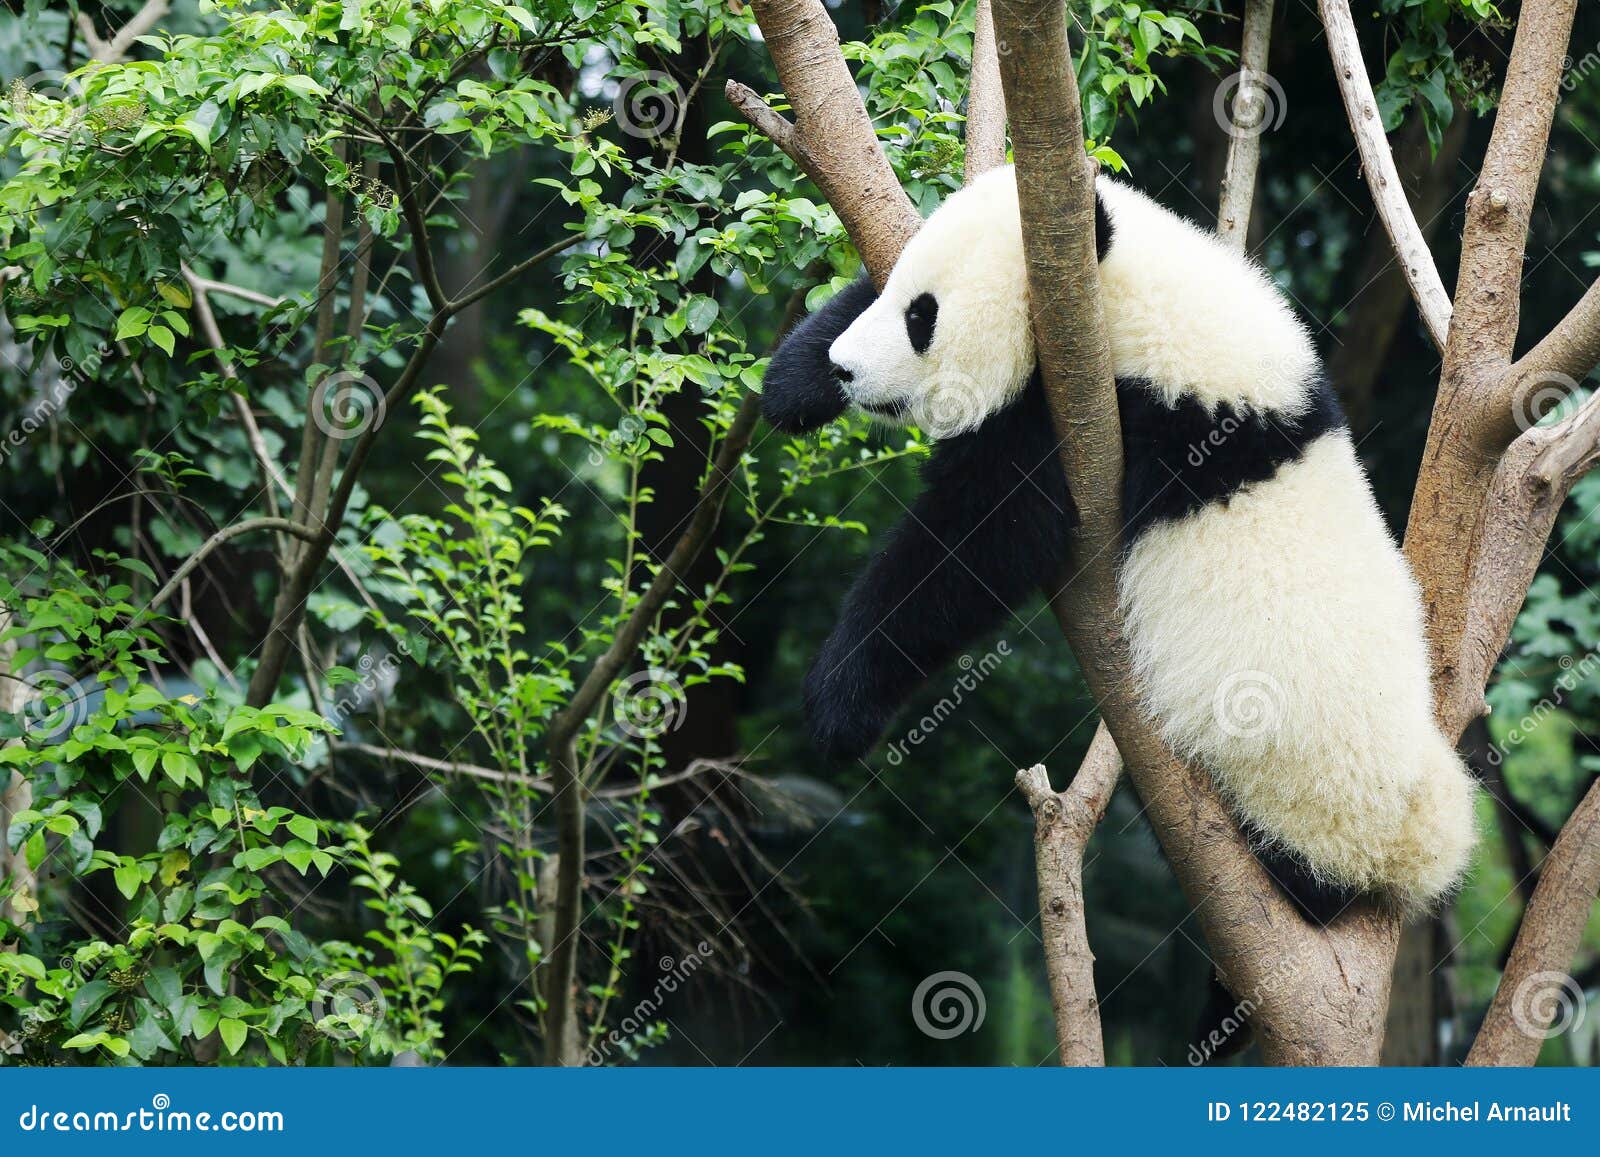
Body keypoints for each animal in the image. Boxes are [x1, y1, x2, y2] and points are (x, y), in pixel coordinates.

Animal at [761, 165, 1478, 923]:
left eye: (921, 317)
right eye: (896, 290)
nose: (845, 369)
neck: (1123, 301)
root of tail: (1418, 852)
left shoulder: (1130, 415)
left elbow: (990, 535)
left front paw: (839, 700)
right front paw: (792, 381)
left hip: (1317, 800)